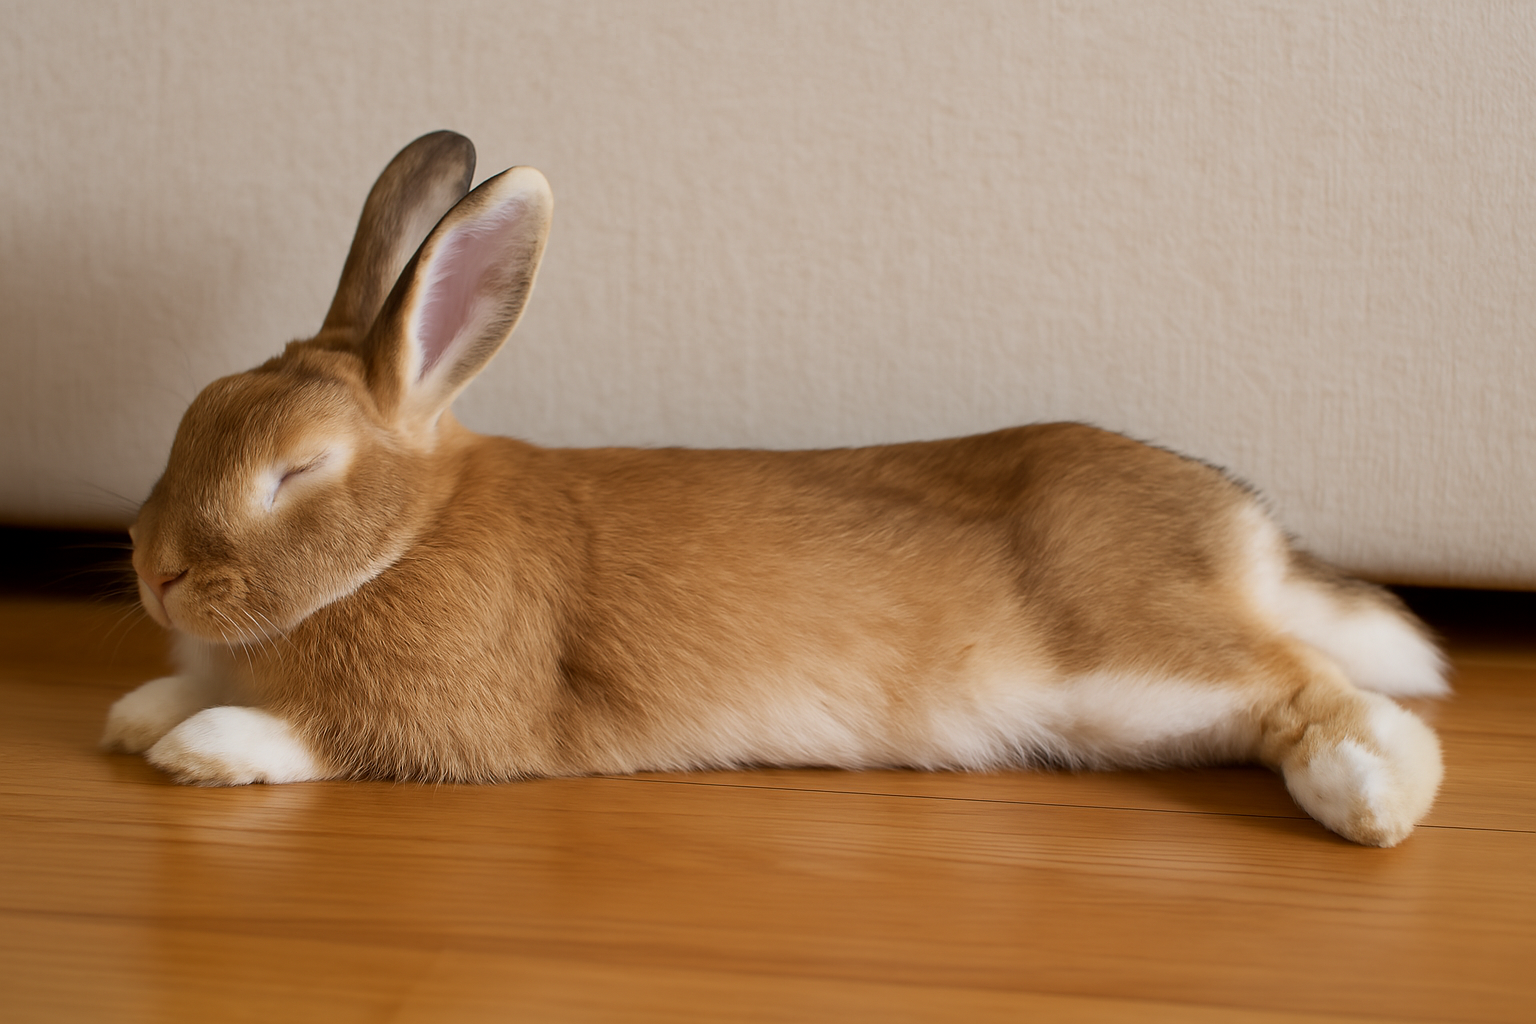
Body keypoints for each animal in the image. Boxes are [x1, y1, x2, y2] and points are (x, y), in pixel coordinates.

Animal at [103, 130, 1449, 847]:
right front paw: (138, 711)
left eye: (298, 470)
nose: (155, 571)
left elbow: (318, 734)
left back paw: (1373, 801)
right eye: (192, 413)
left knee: (1320, 692)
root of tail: (1244, 534)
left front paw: (199, 746)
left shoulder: (453, 715)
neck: (406, 533)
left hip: (1138, 652)